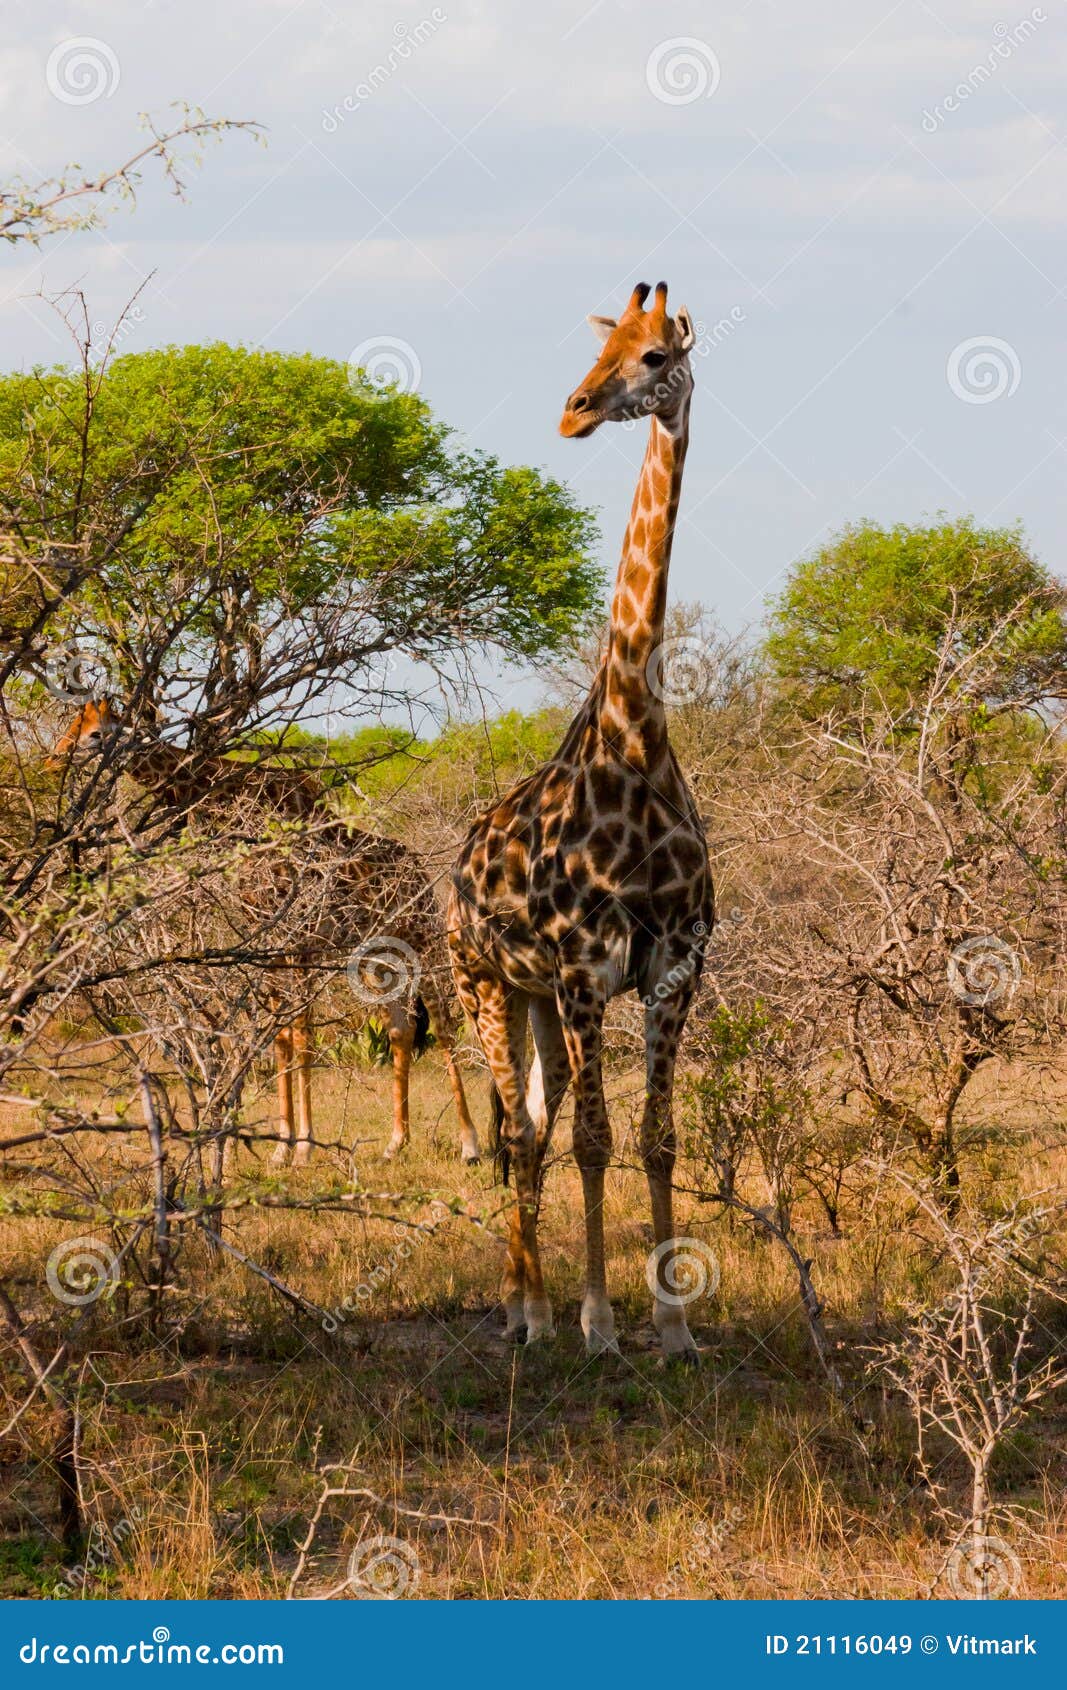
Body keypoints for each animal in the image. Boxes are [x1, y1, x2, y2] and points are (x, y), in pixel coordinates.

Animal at [52, 699, 482, 1166]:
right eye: (74, 721)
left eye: (94, 732)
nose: (56, 756)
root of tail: (421, 873)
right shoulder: (267, 940)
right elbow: (280, 1036)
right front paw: (281, 1146)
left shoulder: (301, 939)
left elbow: (302, 1034)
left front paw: (305, 1146)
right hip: (377, 957)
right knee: (401, 1030)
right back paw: (394, 1143)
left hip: (425, 941)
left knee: (445, 1025)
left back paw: (470, 1145)